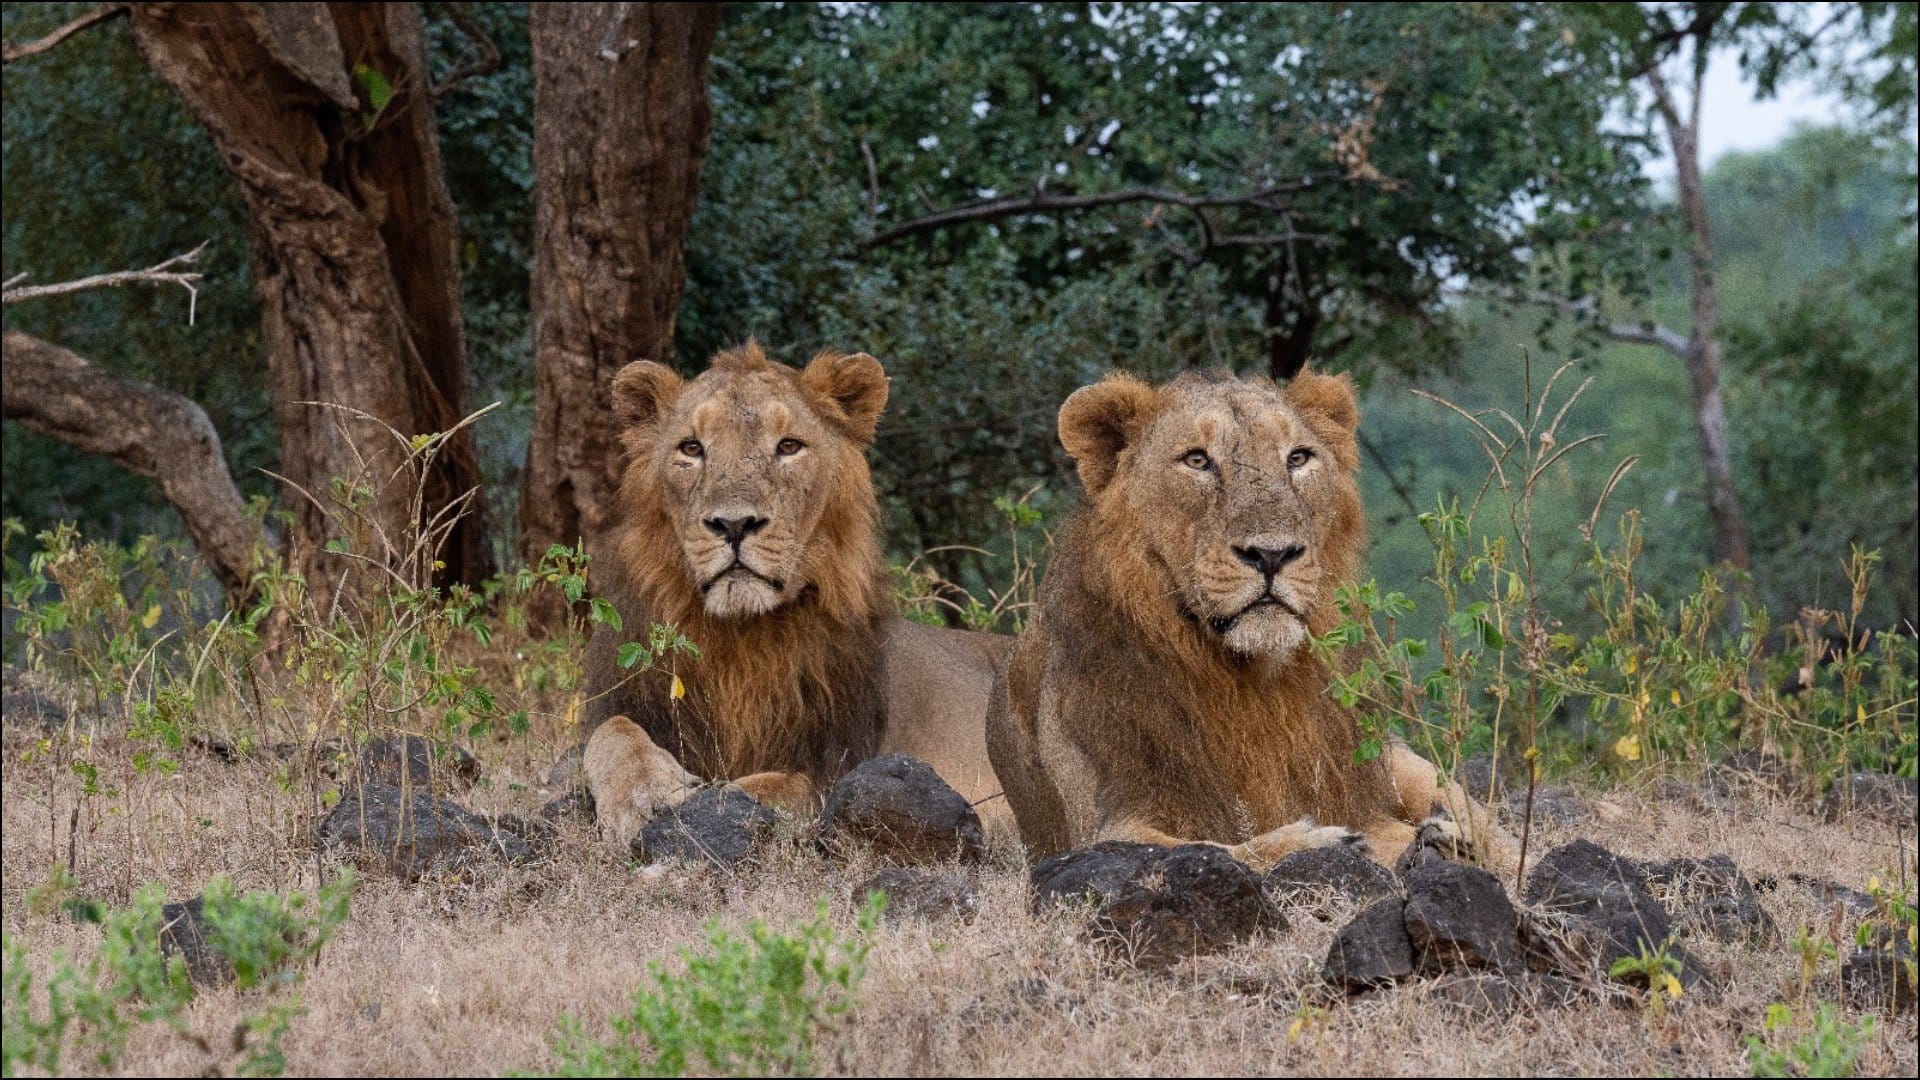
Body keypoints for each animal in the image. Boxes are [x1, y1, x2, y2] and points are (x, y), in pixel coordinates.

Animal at [580, 343, 1009, 842]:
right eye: (691, 448)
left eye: (788, 446)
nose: (734, 524)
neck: (739, 638)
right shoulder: (623, 701)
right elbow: (611, 732)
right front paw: (643, 792)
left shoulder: (835, 765)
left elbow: (773, 787)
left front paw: (704, 801)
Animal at [985, 368, 1514, 871]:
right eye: (1197, 460)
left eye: (1298, 458)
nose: (1272, 554)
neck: (1247, 681)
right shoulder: (1105, 824)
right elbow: (1214, 849)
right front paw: (1326, 841)